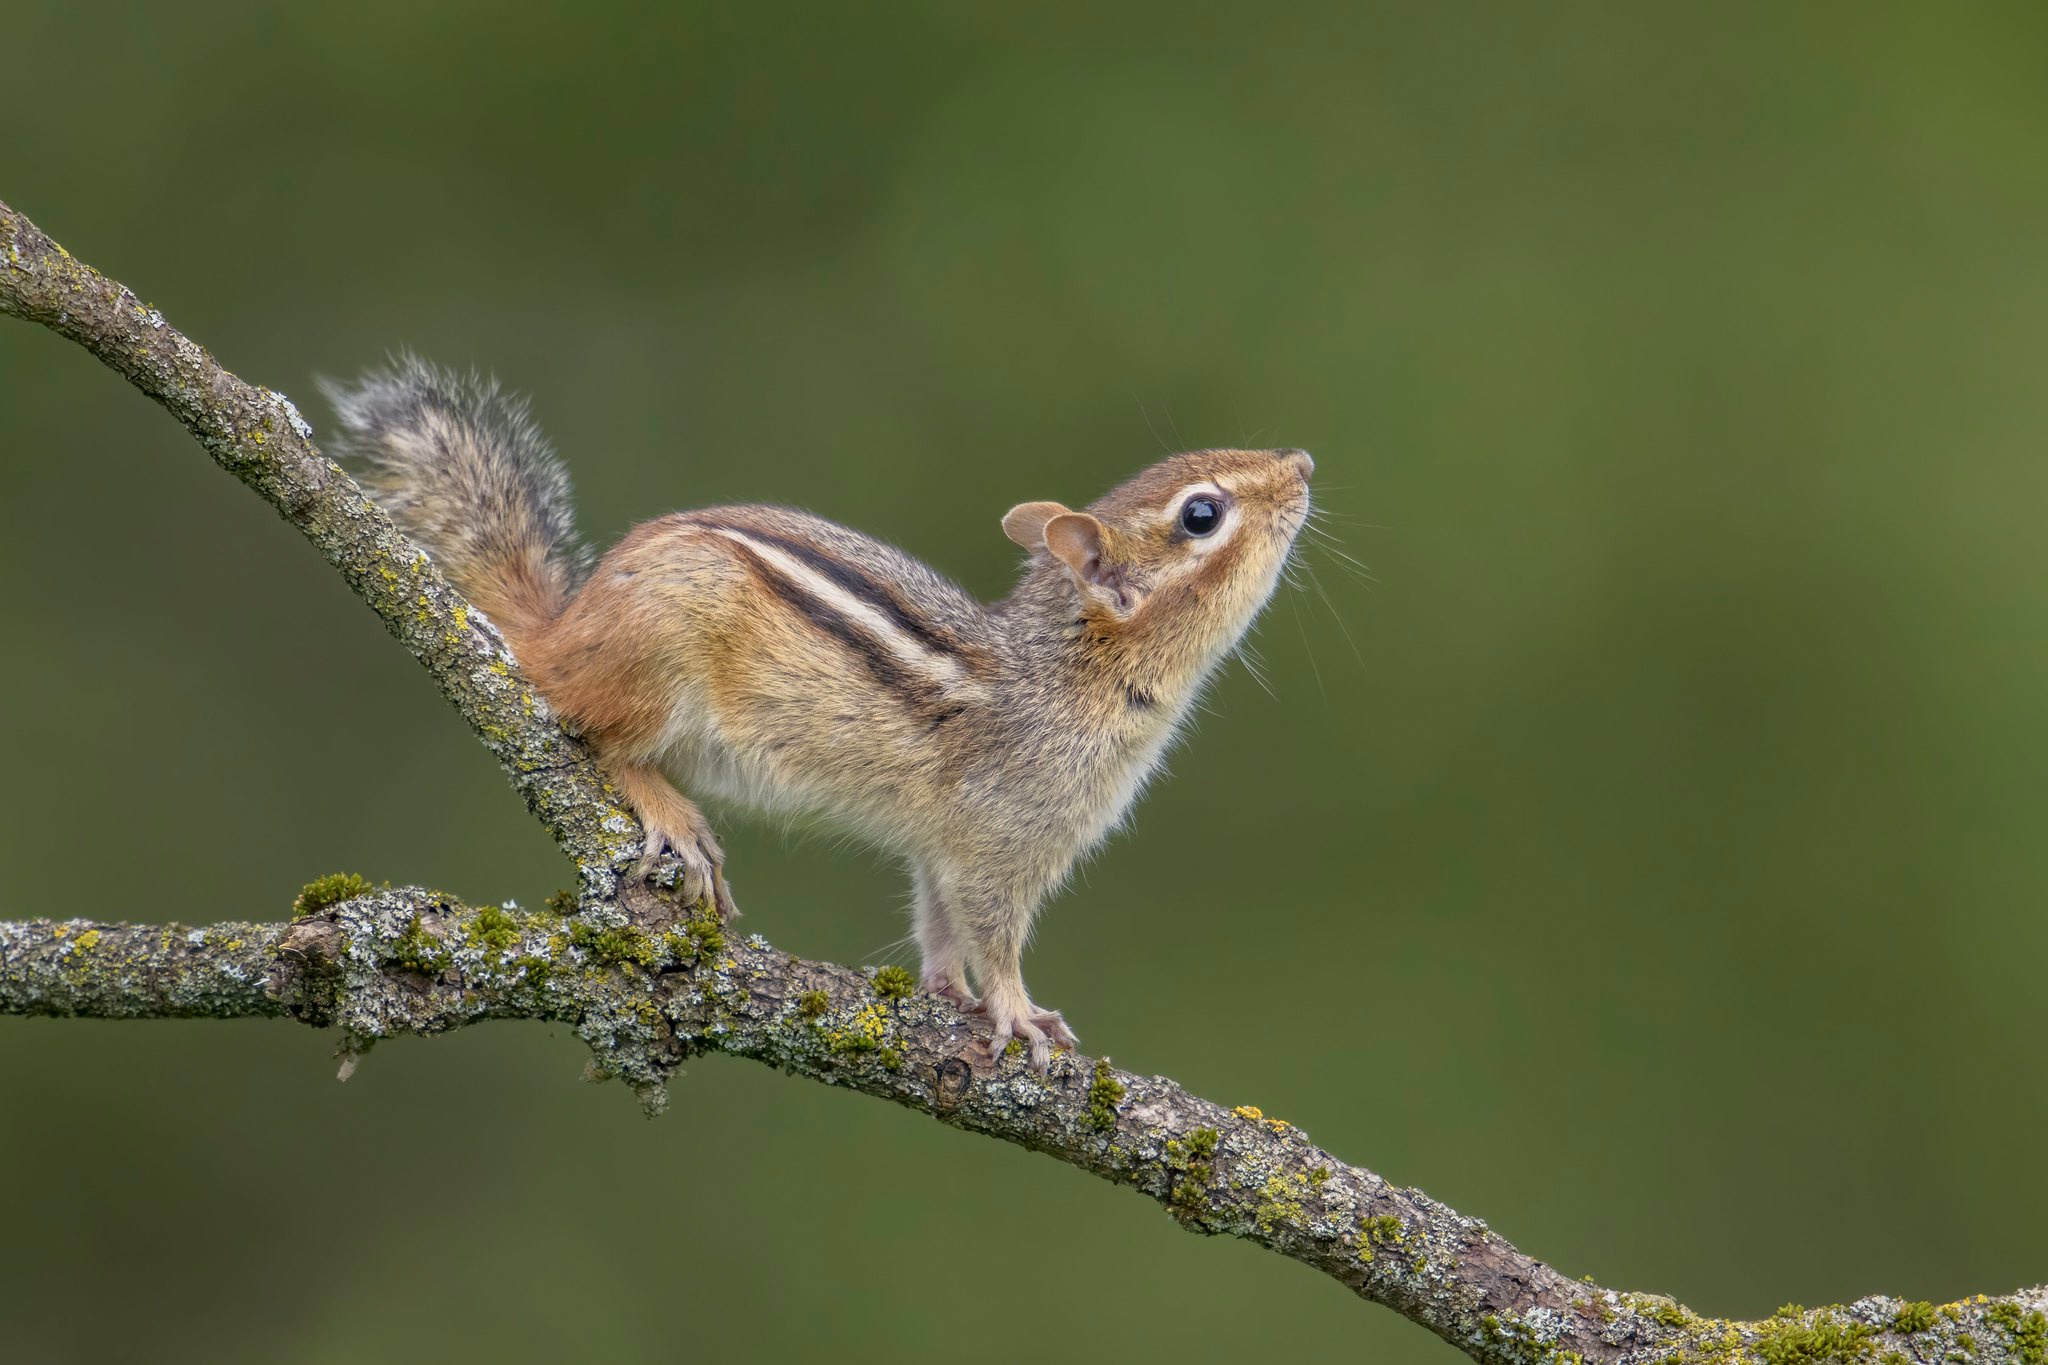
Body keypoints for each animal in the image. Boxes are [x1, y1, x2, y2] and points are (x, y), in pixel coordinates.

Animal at [323, 357, 1313, 1067]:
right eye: (1202, 514)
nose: (1303, 462)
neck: (1068, 673)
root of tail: (560, 631)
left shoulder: (946, 846)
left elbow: (938, 920)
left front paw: (948, 992)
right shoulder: (1003, 843)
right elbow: (993, 935)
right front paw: (1017, 1011)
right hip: (657, 663)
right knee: (592, 734)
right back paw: (670, 813)